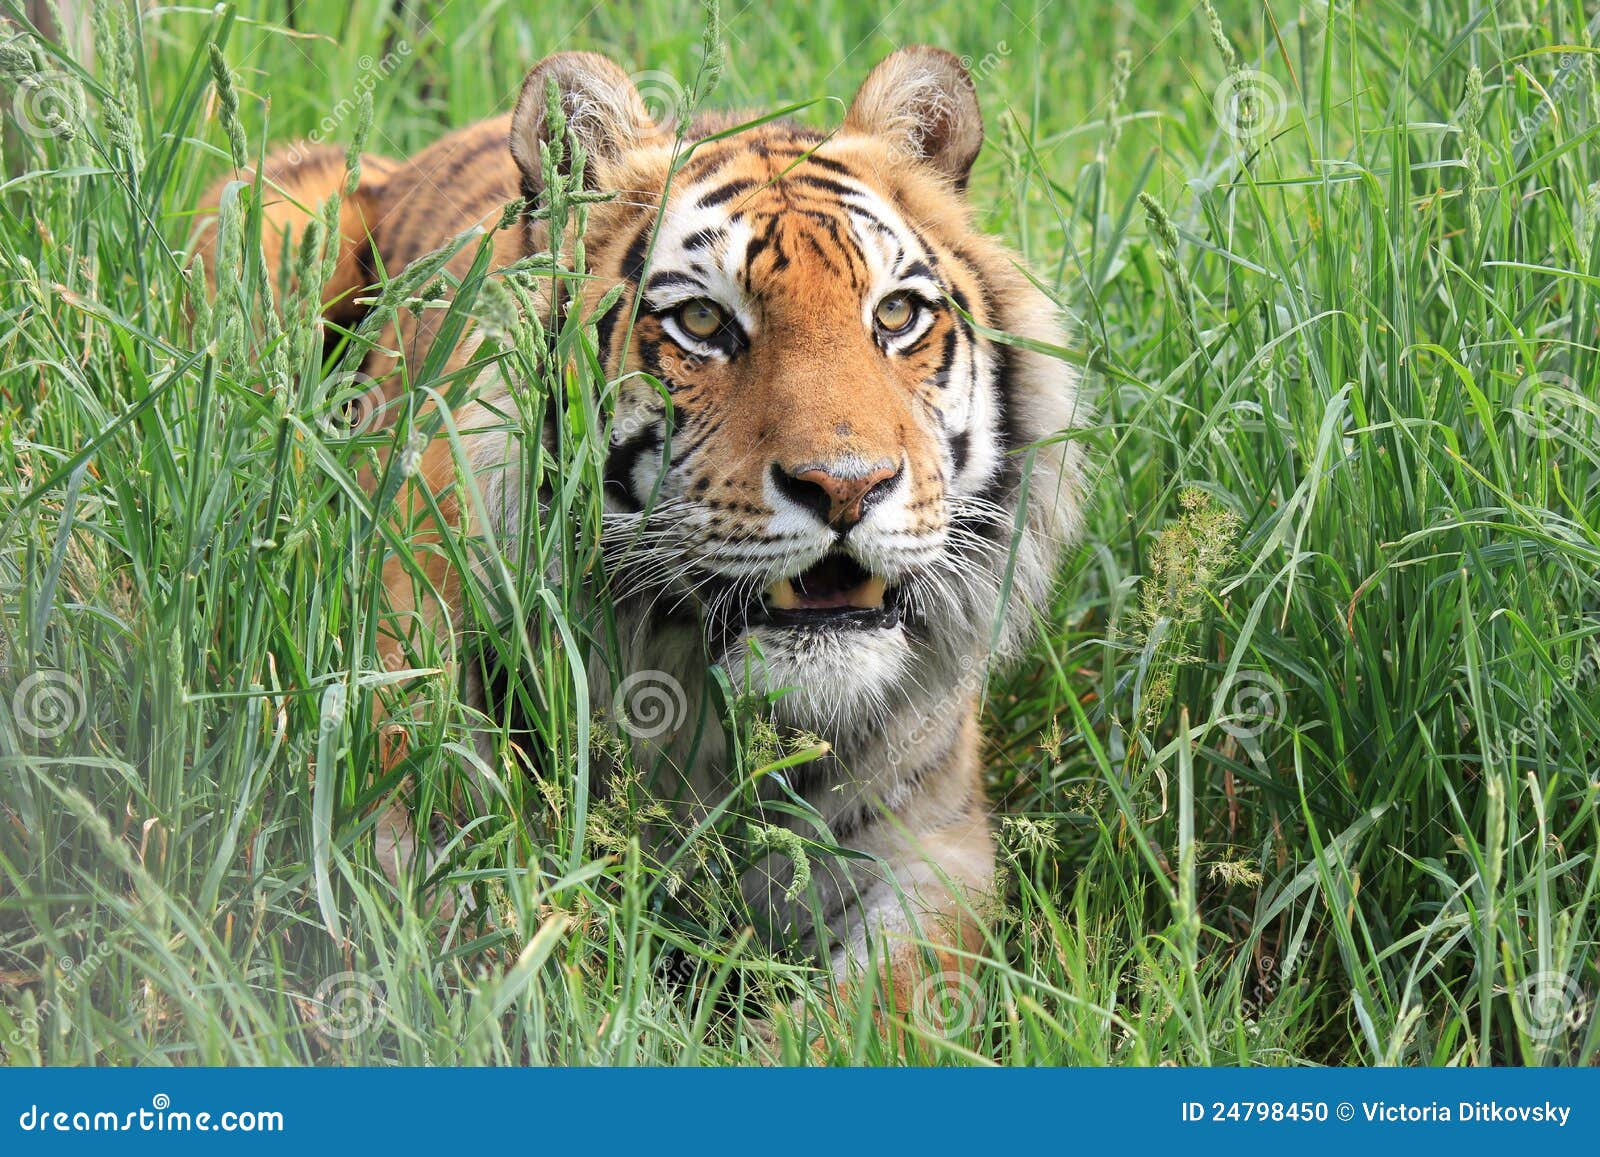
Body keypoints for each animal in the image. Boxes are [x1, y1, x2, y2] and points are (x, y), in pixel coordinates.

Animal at [198, 46, 1089, 1010]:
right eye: (701, 320)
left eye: (895, 315)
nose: (847, 487)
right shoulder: (409, 819)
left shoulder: (934, 850)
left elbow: (889, 1006)